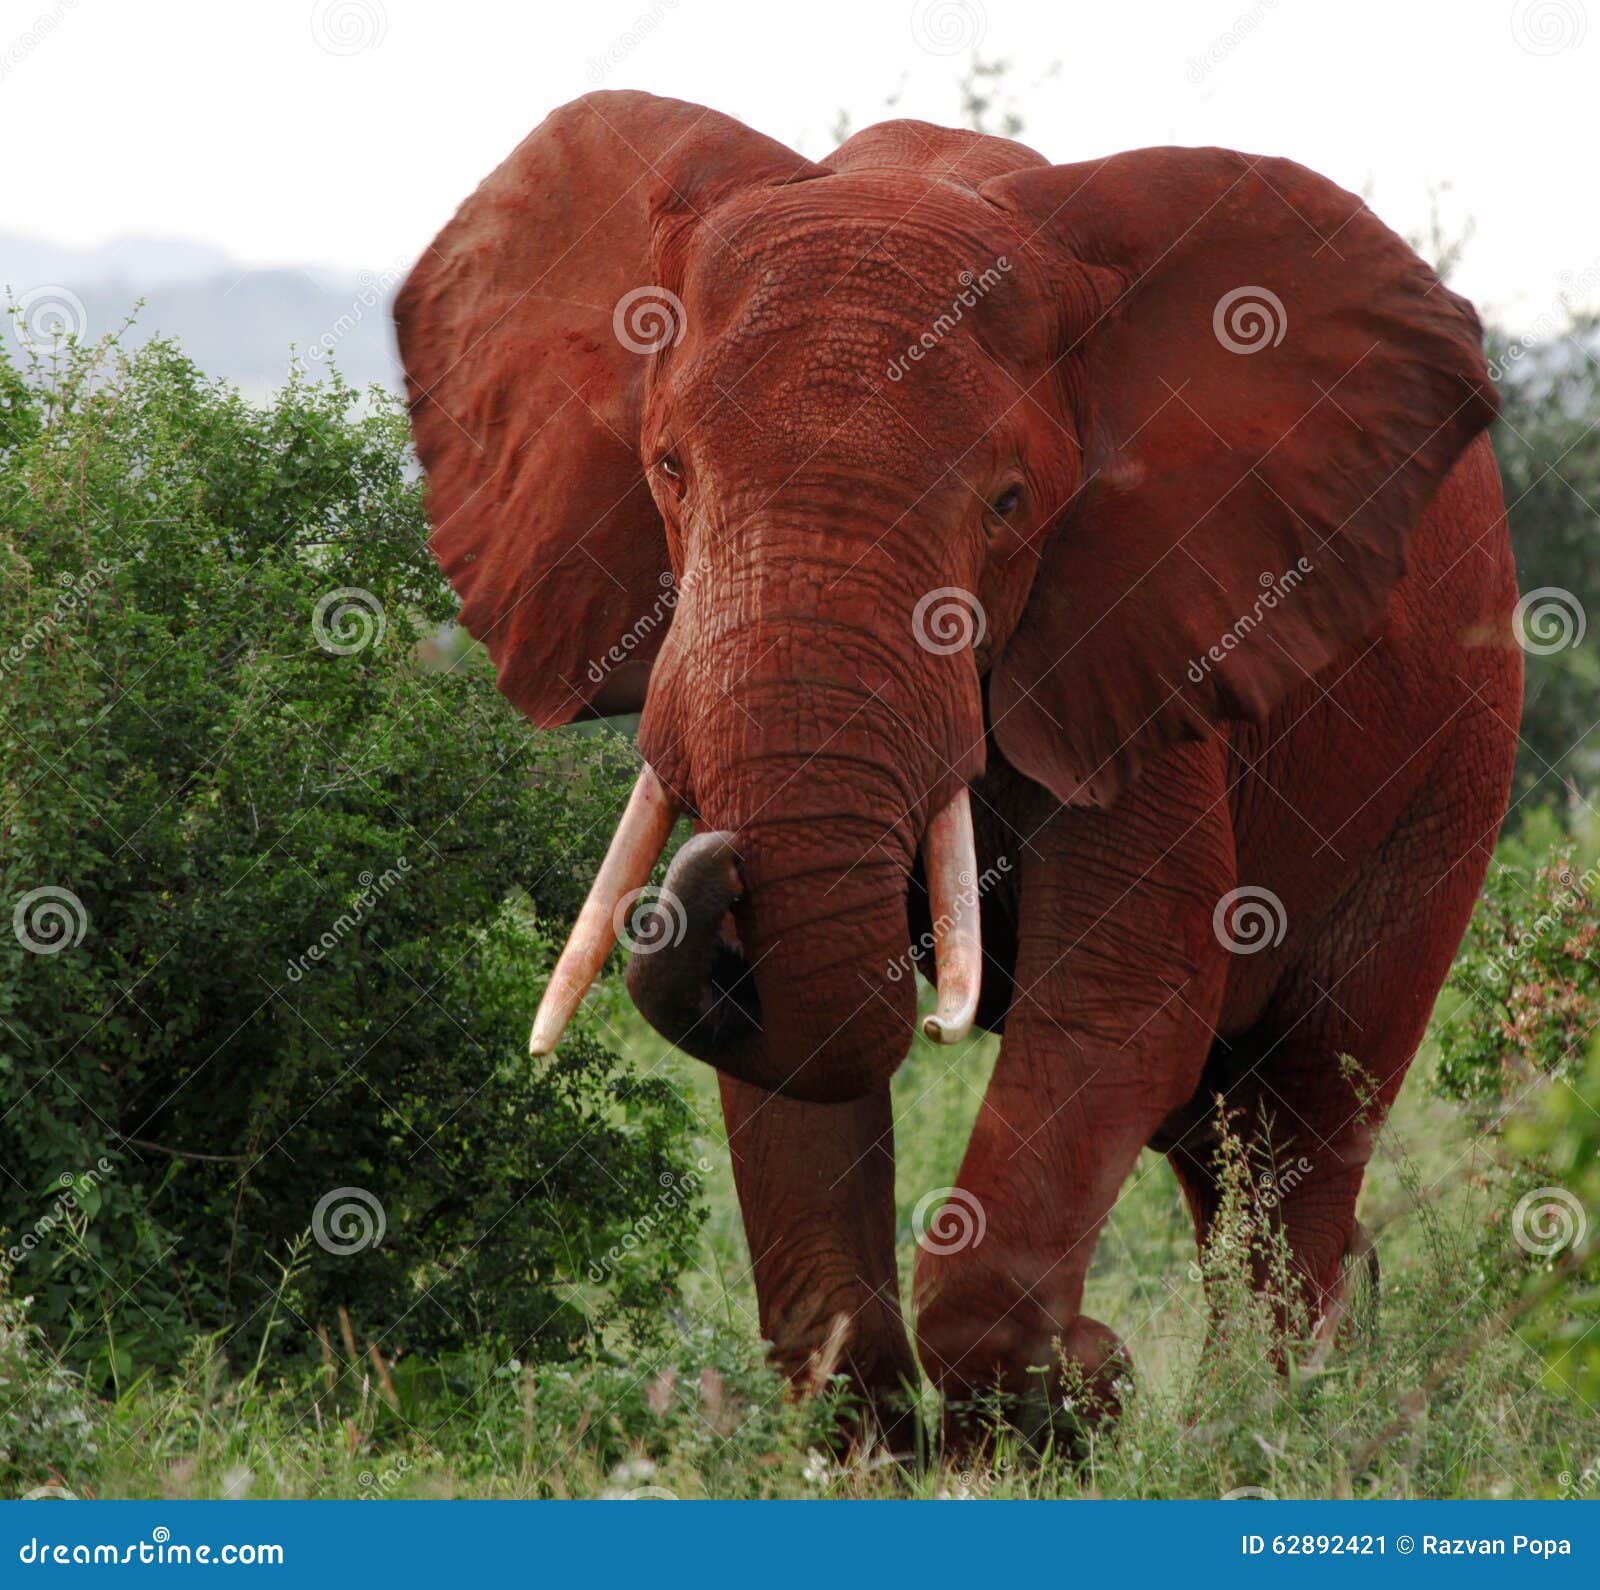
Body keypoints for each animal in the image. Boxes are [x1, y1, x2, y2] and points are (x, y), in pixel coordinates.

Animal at [395, 92, 1521, 1449]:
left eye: (1008, 502)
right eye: (666, 468)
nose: (703, 870)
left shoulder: (1144, 636)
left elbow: (1130, 978)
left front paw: (1080, 1392)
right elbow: (799, 1042)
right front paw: (881, 1441)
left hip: (1454, 759)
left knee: (1306, 1101)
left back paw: (1280, 1416)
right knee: (1220, 1144)